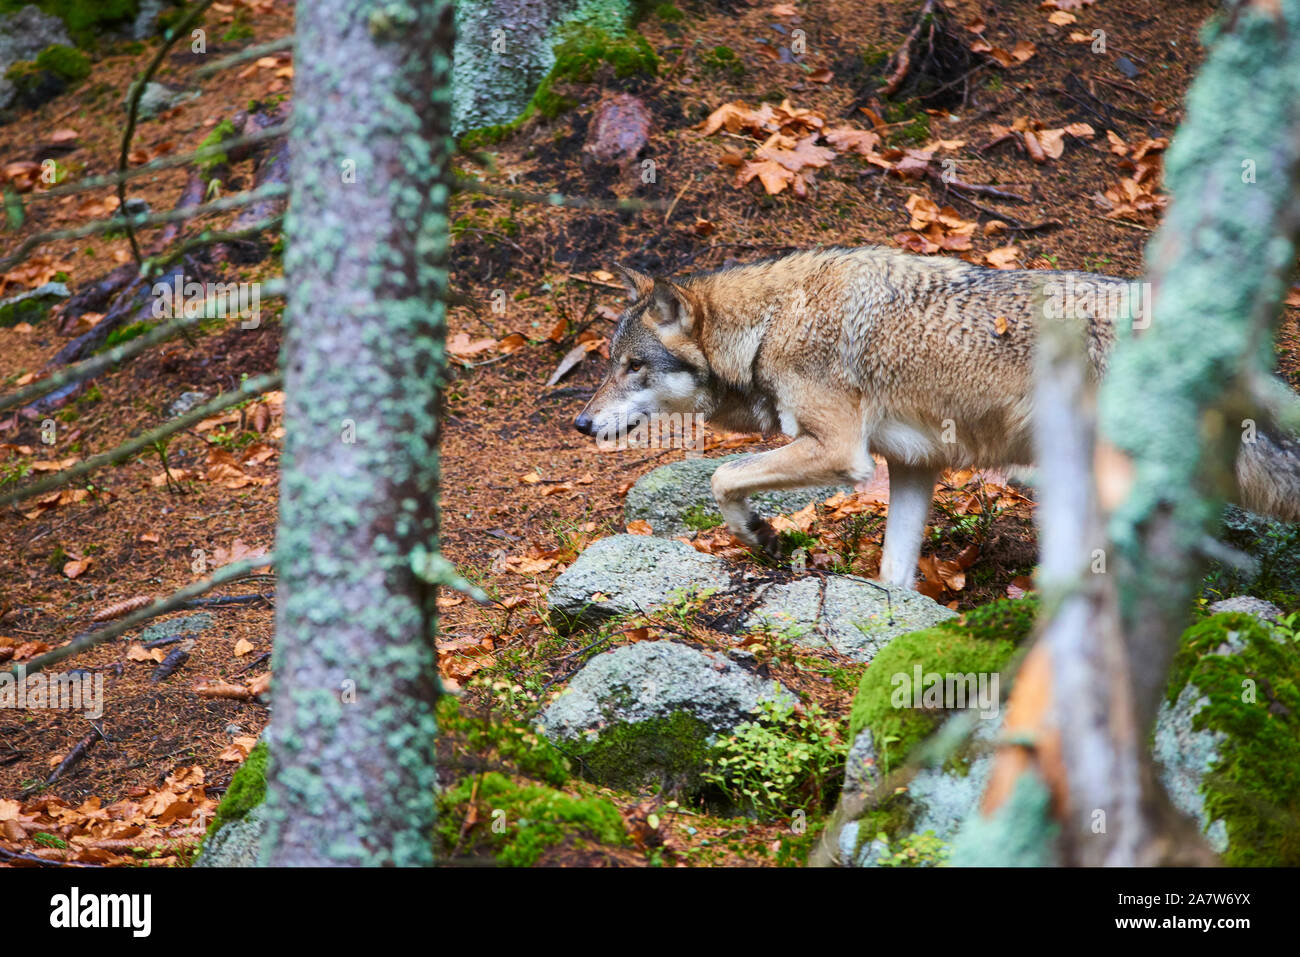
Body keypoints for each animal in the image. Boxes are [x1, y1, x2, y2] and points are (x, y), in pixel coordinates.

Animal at [573, 246, 1300, 587]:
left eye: (633, 367)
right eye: (608, 363)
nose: (581, 424)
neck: (770, 325)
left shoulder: (840, 452)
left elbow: (722, 478)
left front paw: (760, 536)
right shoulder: (915, 465)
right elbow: (894, 570)